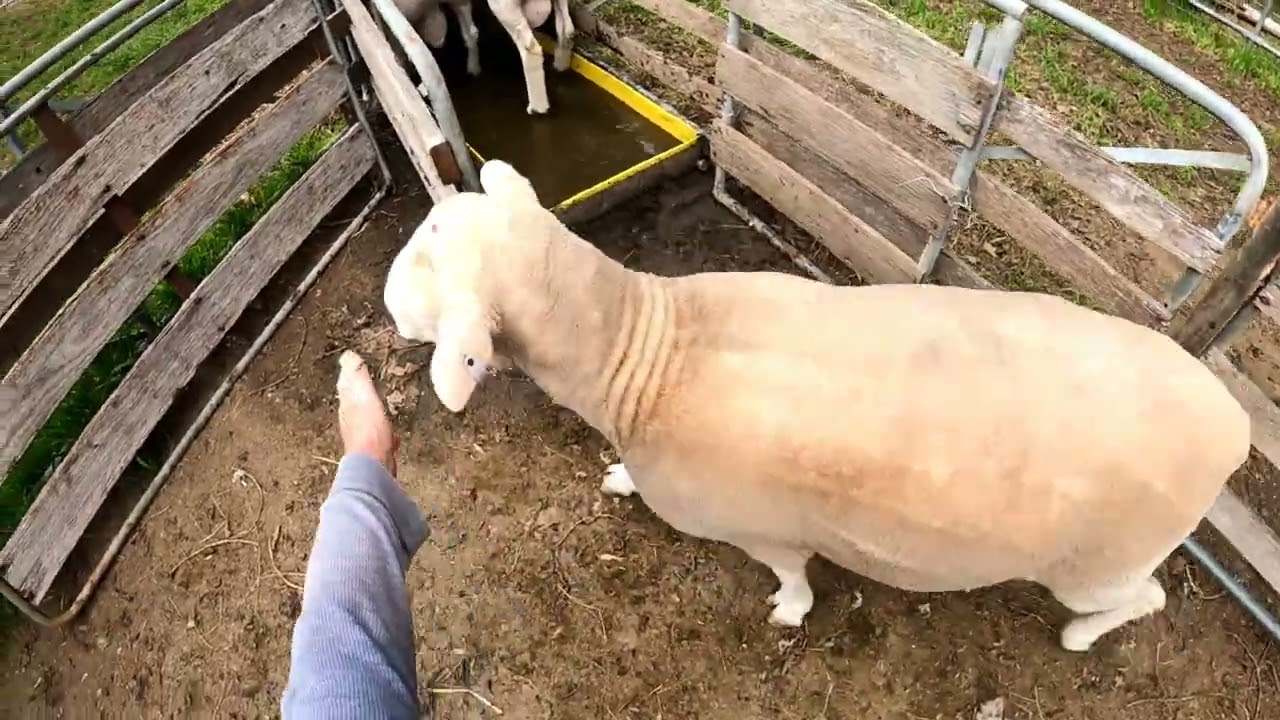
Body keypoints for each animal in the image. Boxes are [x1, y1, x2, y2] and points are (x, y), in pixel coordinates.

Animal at [383, 159, 1253, 652]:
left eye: (430, 251)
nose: (388, 301)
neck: (648, 349)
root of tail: (1237, 425)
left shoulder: (761, 527)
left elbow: (791, 573)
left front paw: (790, 612)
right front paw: (623, 478)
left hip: (1101, 564)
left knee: (1145, 598)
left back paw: (1078, 637)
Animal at [391, 0, 573, 114]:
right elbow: (470, 32)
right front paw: (473, 69)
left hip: (504, 5)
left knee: (530, 47)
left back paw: (537, 107)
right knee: (567, 29)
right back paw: (561, 65)